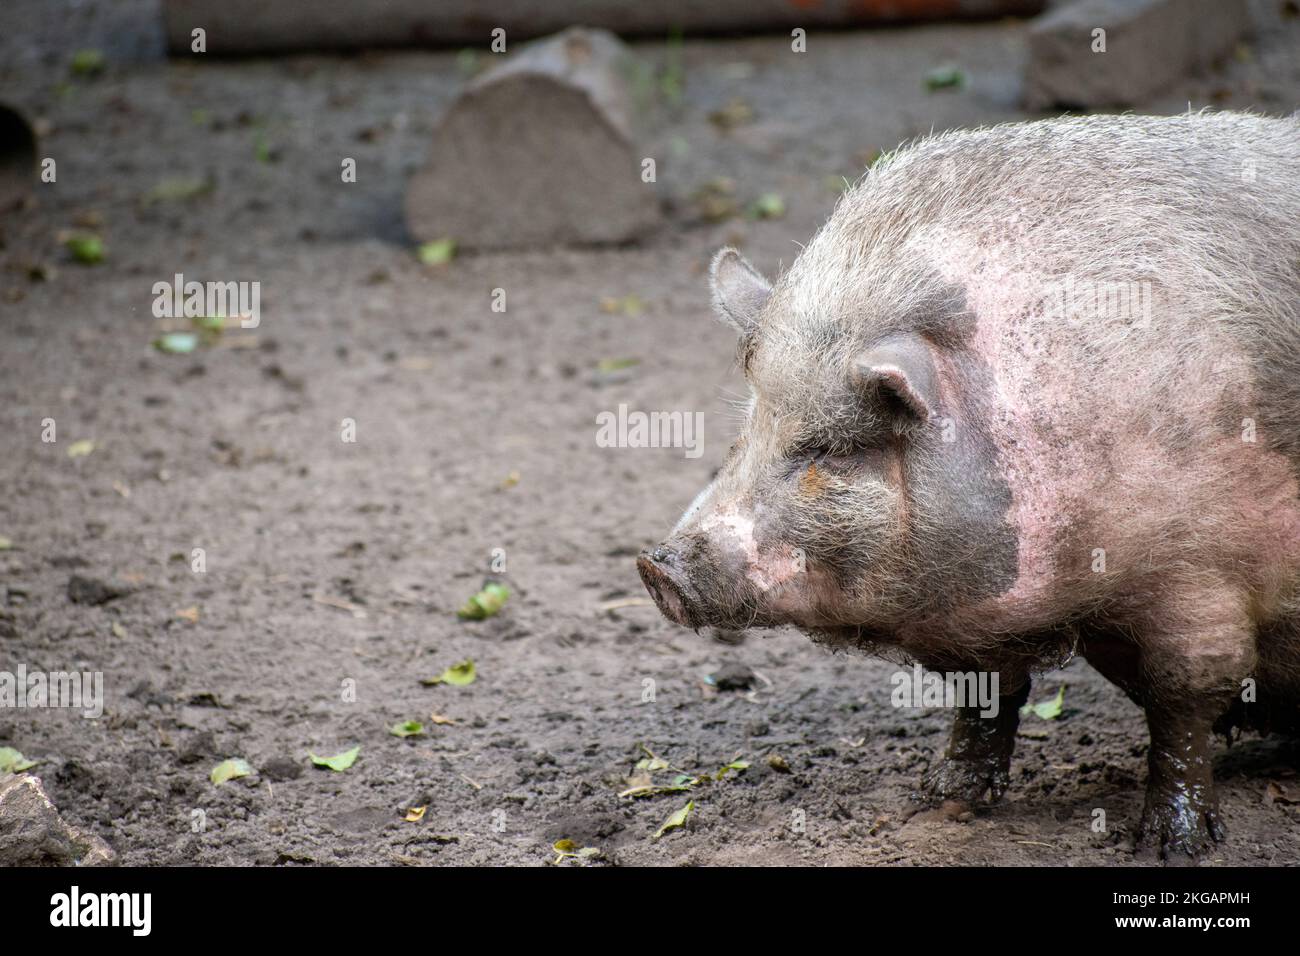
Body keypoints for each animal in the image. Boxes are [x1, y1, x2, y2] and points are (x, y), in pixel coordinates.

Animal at [638, 112, 1300, 862]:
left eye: (831, 448)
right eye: (745, 434)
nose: (657, 567)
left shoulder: (1201, 567)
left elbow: (1184, 696)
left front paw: (1172, 845)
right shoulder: (973, 620)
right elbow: (984, 693)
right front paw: (941, 800)